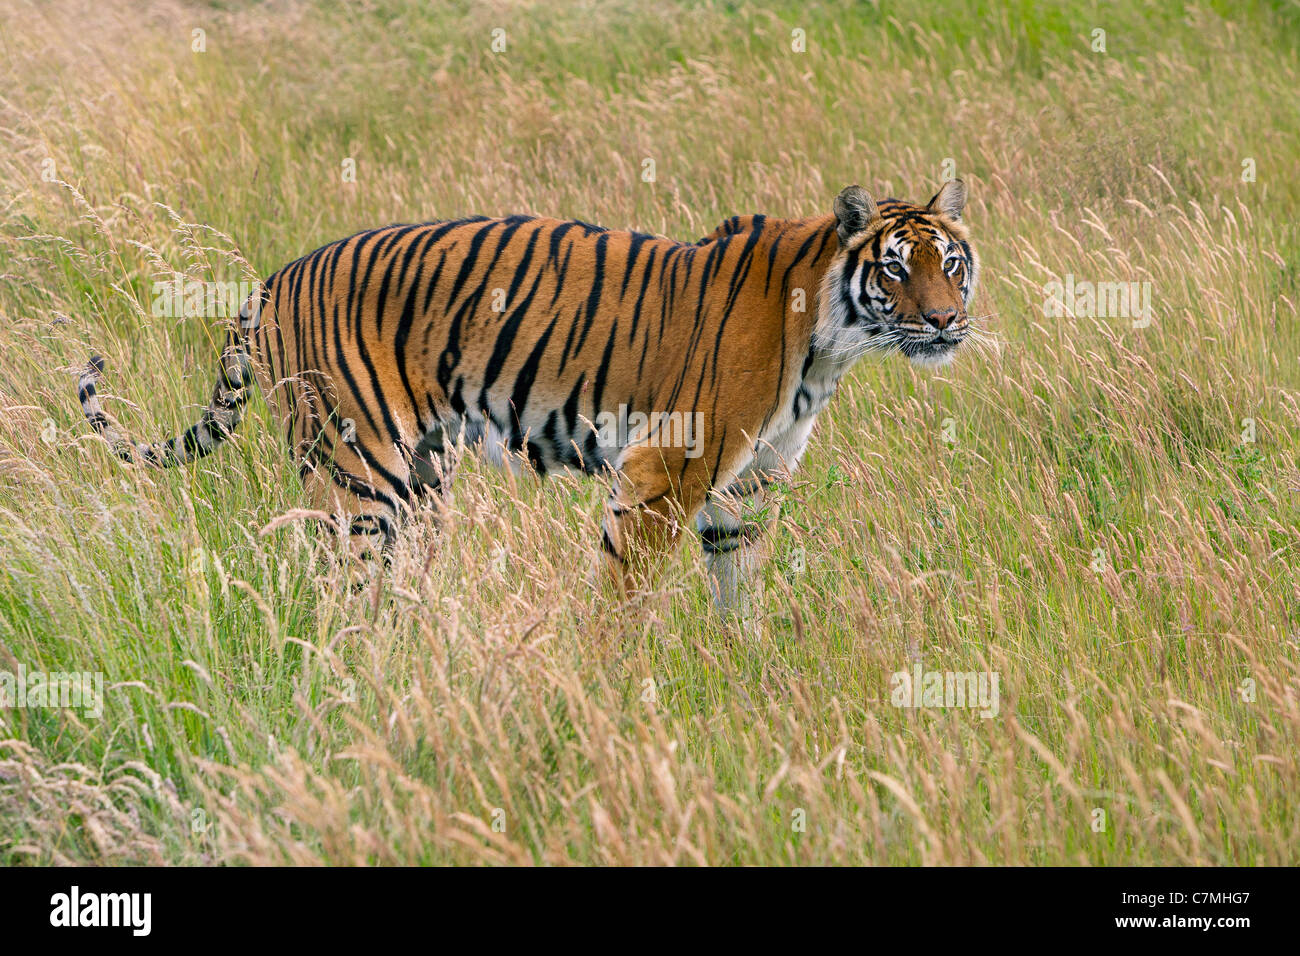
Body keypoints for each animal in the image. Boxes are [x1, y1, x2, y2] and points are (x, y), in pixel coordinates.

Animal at [77, 181, 978, 611]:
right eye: (896, 268)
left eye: (951, 263)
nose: (946, 320)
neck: (829, 344)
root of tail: (272, 281)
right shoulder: (664, 471)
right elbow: (623, 596)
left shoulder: (748, 489)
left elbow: (741, 594)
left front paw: (743, 678)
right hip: (356, 473)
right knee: (334, 589)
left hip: (420, 481)